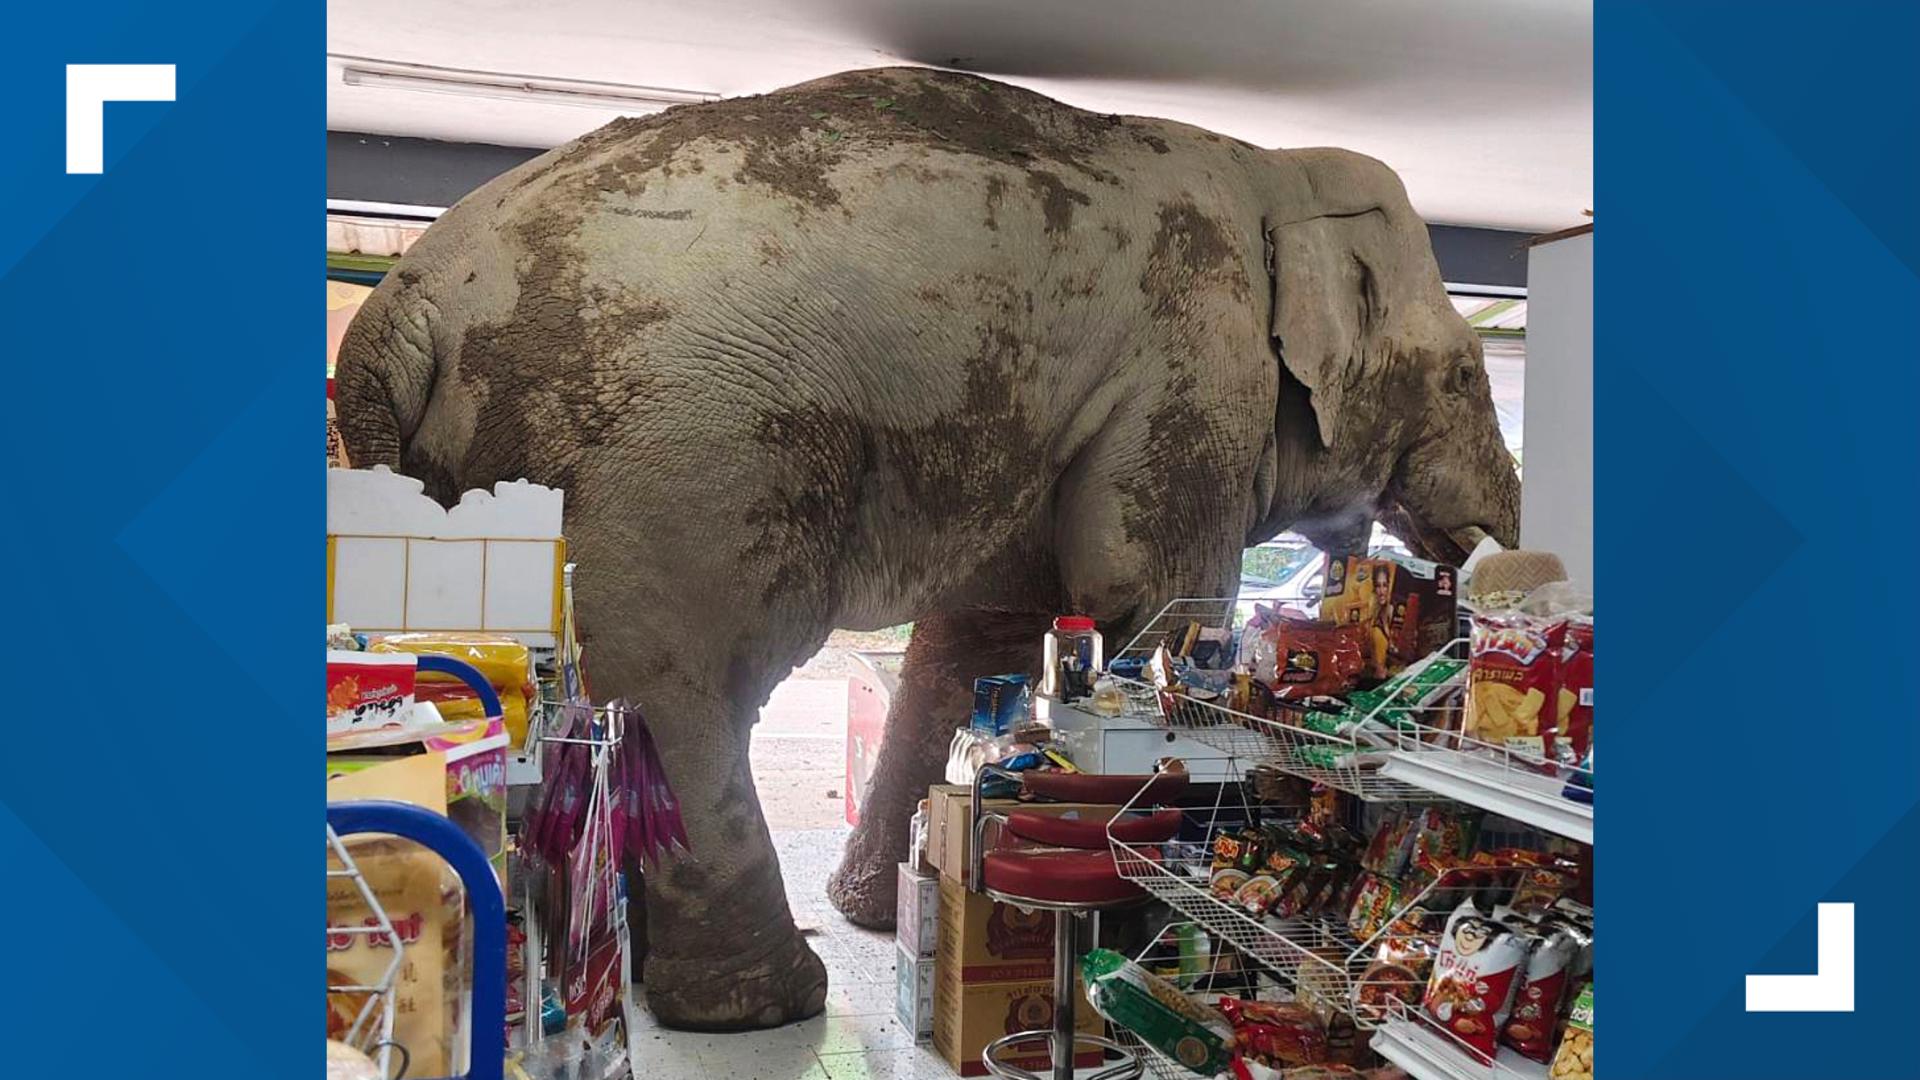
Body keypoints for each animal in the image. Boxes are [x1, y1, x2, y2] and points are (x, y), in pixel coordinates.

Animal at [334, 66, 1520, 1031]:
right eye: (1467, 375)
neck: (1274, 171)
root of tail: (400, 304)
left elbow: (982, 637)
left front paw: (895, 903)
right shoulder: (1194, 358)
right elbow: (1149, 594)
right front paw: (1142, 954)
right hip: (676, 451)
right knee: (682, 681)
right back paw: (762, 1005)